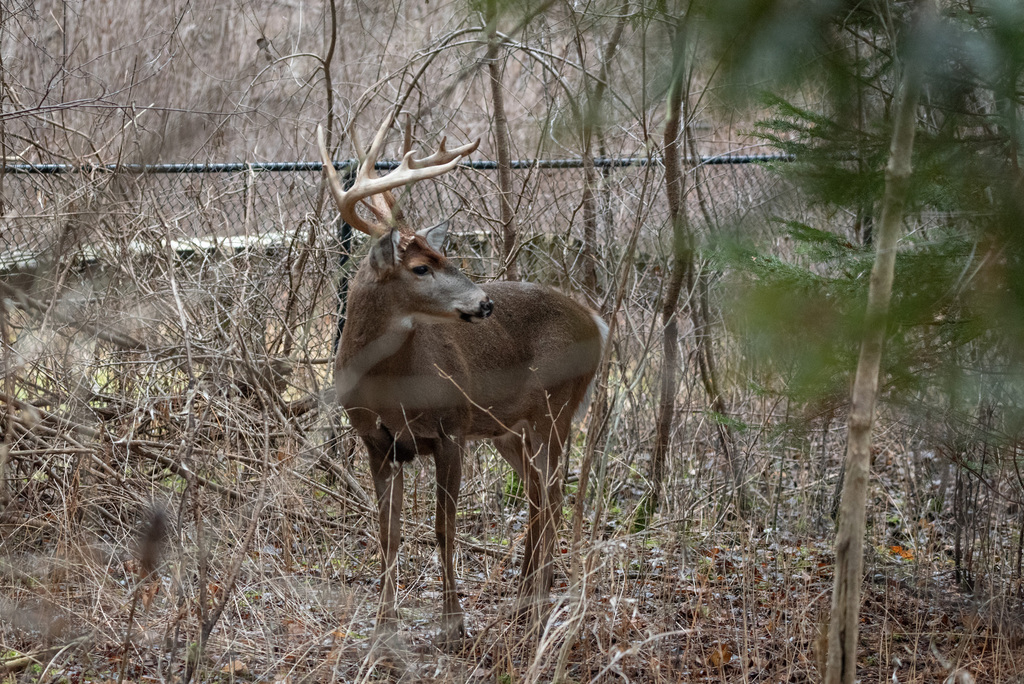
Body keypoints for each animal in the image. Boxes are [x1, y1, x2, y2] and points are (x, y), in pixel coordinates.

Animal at [317, 112, 607, 647]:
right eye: (420, 267)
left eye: (446, 258)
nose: (485, 303)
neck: (392, 389)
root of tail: (596, 322)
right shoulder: (375, 439)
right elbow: (388, 532)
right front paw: (383, 628)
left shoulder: (451, 427)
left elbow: (443, 527)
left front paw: (454, 623)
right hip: (508, 428)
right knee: (538, 495)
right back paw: (525, 599)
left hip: (556, 408)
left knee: (553, 496)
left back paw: (537, 607)